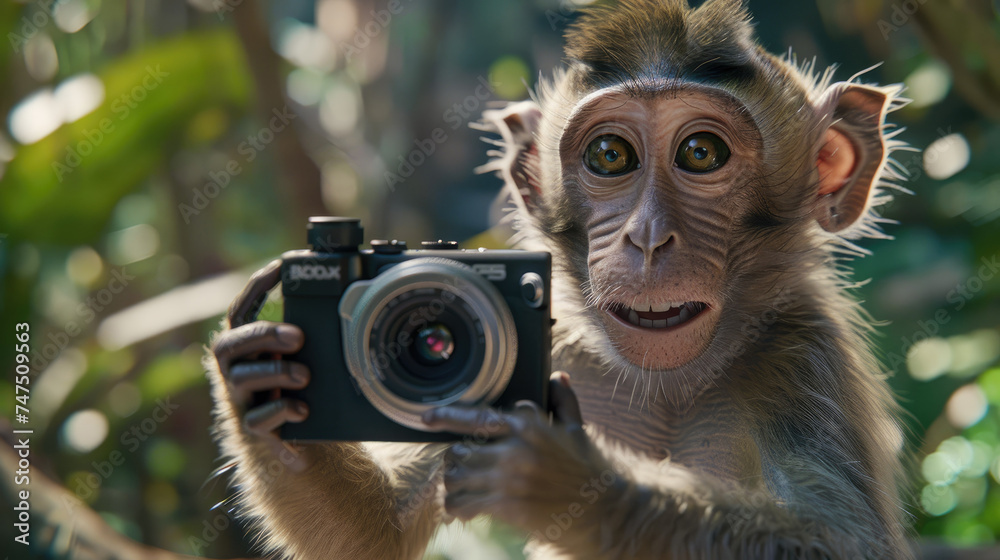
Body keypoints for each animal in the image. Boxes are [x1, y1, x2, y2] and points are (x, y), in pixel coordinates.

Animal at [207, 0, 913, 558]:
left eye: (701, 153)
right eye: (610, 156)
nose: (647, 237)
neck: (668, 388)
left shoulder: (801, 359)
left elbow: (839, 543)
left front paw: (569, 484)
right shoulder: (565, 349)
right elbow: (370, 533)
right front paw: (258, 377)